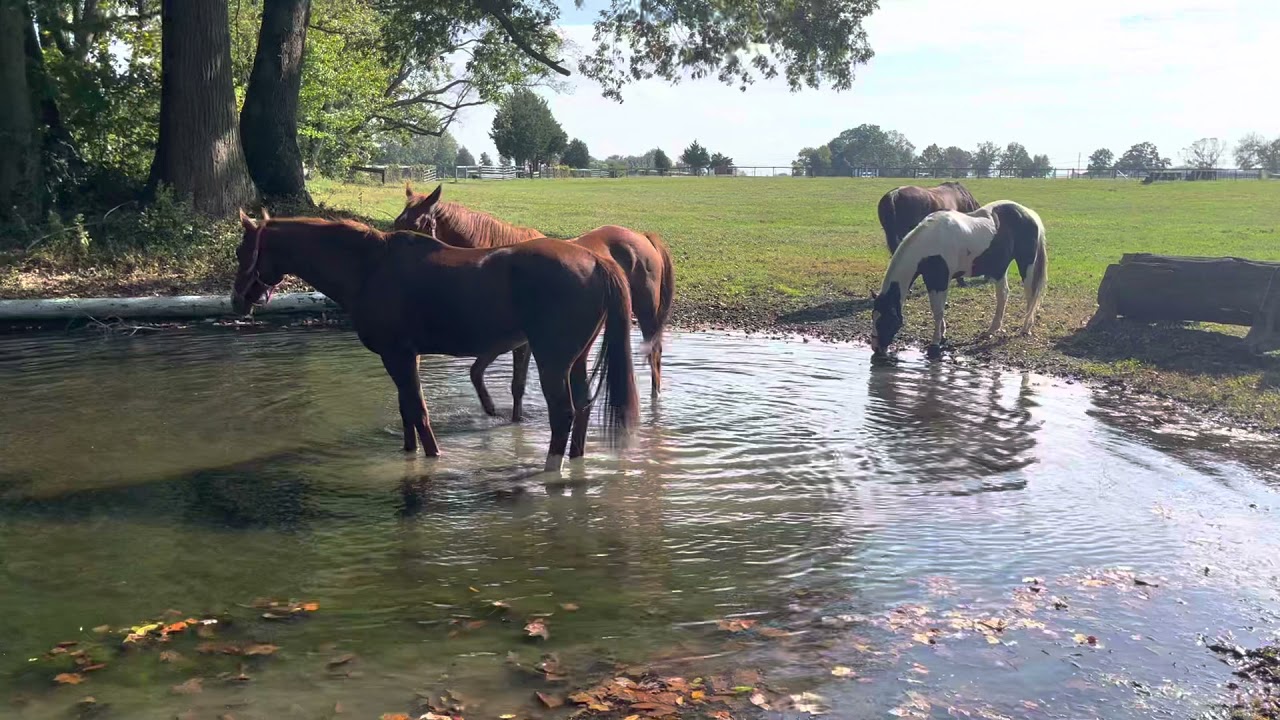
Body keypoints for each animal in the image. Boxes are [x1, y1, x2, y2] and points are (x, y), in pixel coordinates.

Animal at [230, 209, 640, 473]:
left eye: (240, 251)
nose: (237, 301)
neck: (369, 268)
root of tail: (595, 259)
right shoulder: (405, 356)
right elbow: (407, 410)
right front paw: (409, 453)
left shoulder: (397, 355)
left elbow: (418, 411)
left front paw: (432, 458)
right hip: (576, 359)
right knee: (582, 406)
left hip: (552, 359)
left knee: (564, 412)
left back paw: (551, 469)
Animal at [395, 184, 675, 421]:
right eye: (398, 221)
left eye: (417, 223)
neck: (498, 261)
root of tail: (642, 236)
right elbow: (481, 373)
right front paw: (500, 413)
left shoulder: (522, 342)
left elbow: (516, 384)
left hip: (646, 312)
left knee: (654, 354)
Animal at [869, 200, 1048, 358]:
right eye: (874, 317)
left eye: (885, 321)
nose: (876, 349)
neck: (931, 241)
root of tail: (1030, 214)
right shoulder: (931, 279)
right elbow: (937, 309)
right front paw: (942, 335)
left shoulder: (939, 281)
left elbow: (938, 310)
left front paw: (935, 342)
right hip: (999, 269)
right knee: (1003, 294)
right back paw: (991, 330)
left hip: (1026, 264)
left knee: (1030, 296)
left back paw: (1025, 328)